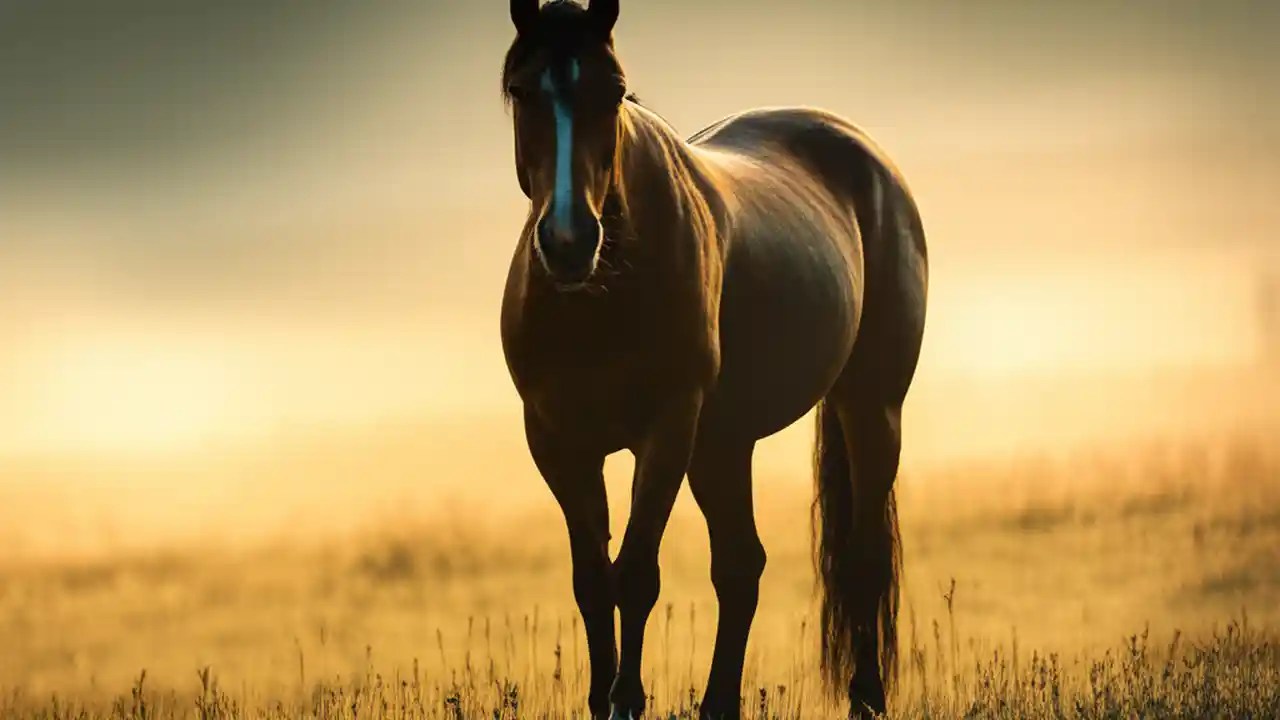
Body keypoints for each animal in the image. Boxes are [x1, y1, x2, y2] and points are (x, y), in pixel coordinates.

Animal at [498, 1, 928, 717]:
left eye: (614, 90)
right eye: (520, 90)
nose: (568, 241)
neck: (603, 291)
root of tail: (870, 162)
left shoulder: (667, 429)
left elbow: (635, 575)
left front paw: (627, 700)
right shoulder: (558, 442)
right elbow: (592, 582)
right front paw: (603, 698)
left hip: (870, 408)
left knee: (861, 556)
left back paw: (866, 697)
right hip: (724, 443)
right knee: (740, 566)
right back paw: (719, 702)